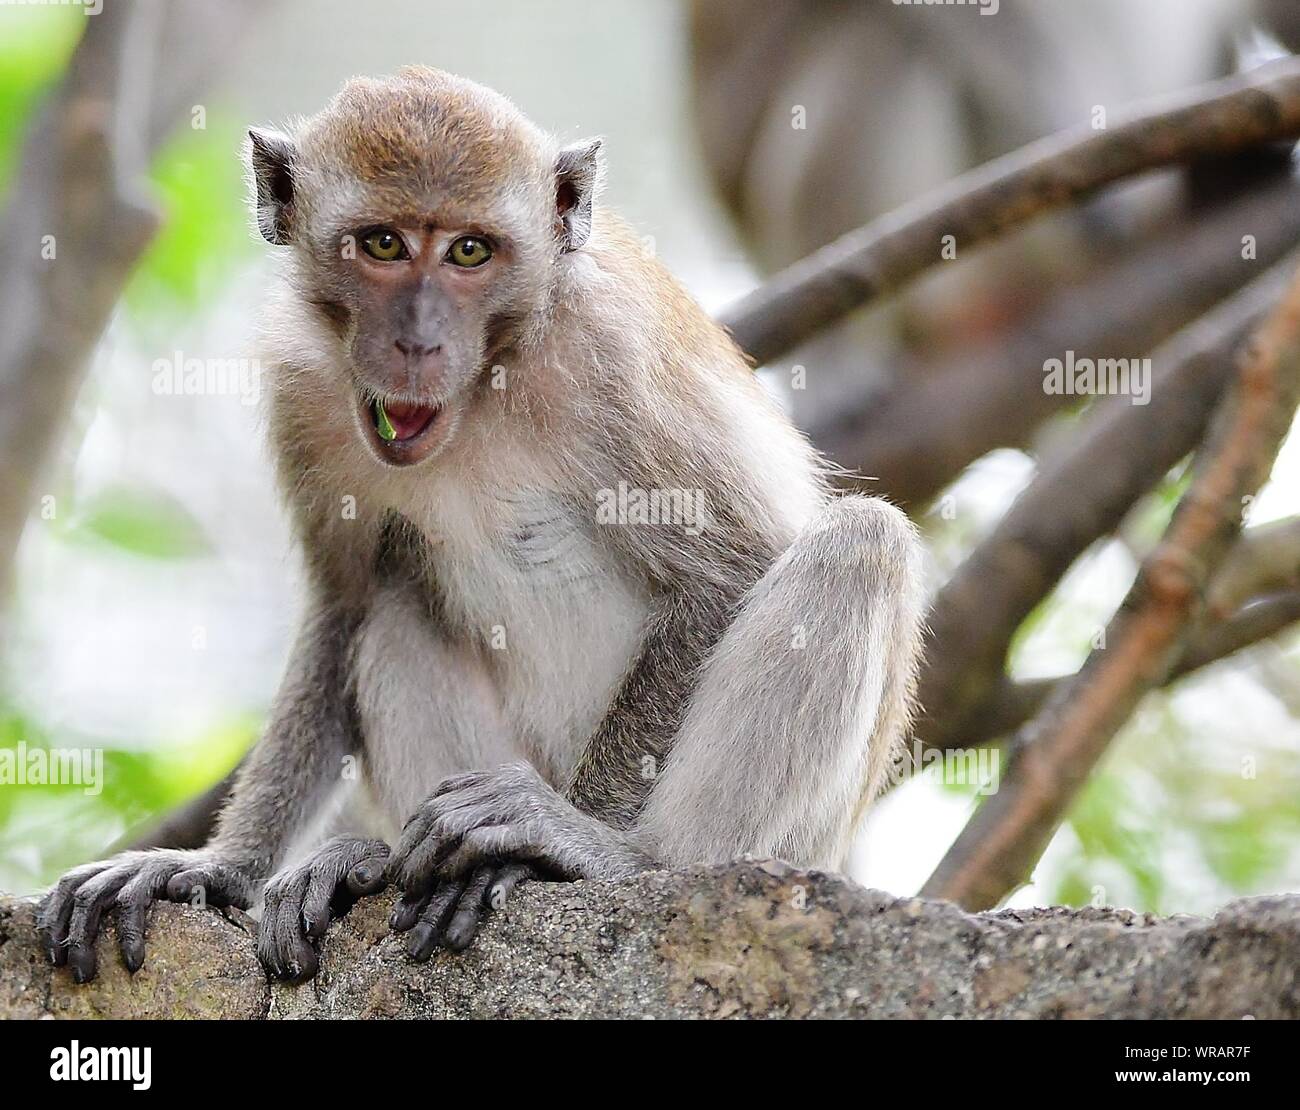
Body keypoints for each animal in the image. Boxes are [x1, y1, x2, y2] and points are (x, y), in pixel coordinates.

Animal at [38, 67, 926, 983]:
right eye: (383, 244)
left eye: (470, 251)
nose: (418, 341)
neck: (489, 383)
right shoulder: (302, 391)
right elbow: (343, 604)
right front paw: (220, 868)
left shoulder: (614, 357)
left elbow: (730, 568)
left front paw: (566, 838)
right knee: (393, 606)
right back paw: (376, 866)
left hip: (799, 844)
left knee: (860, 545)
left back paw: (625, 856)